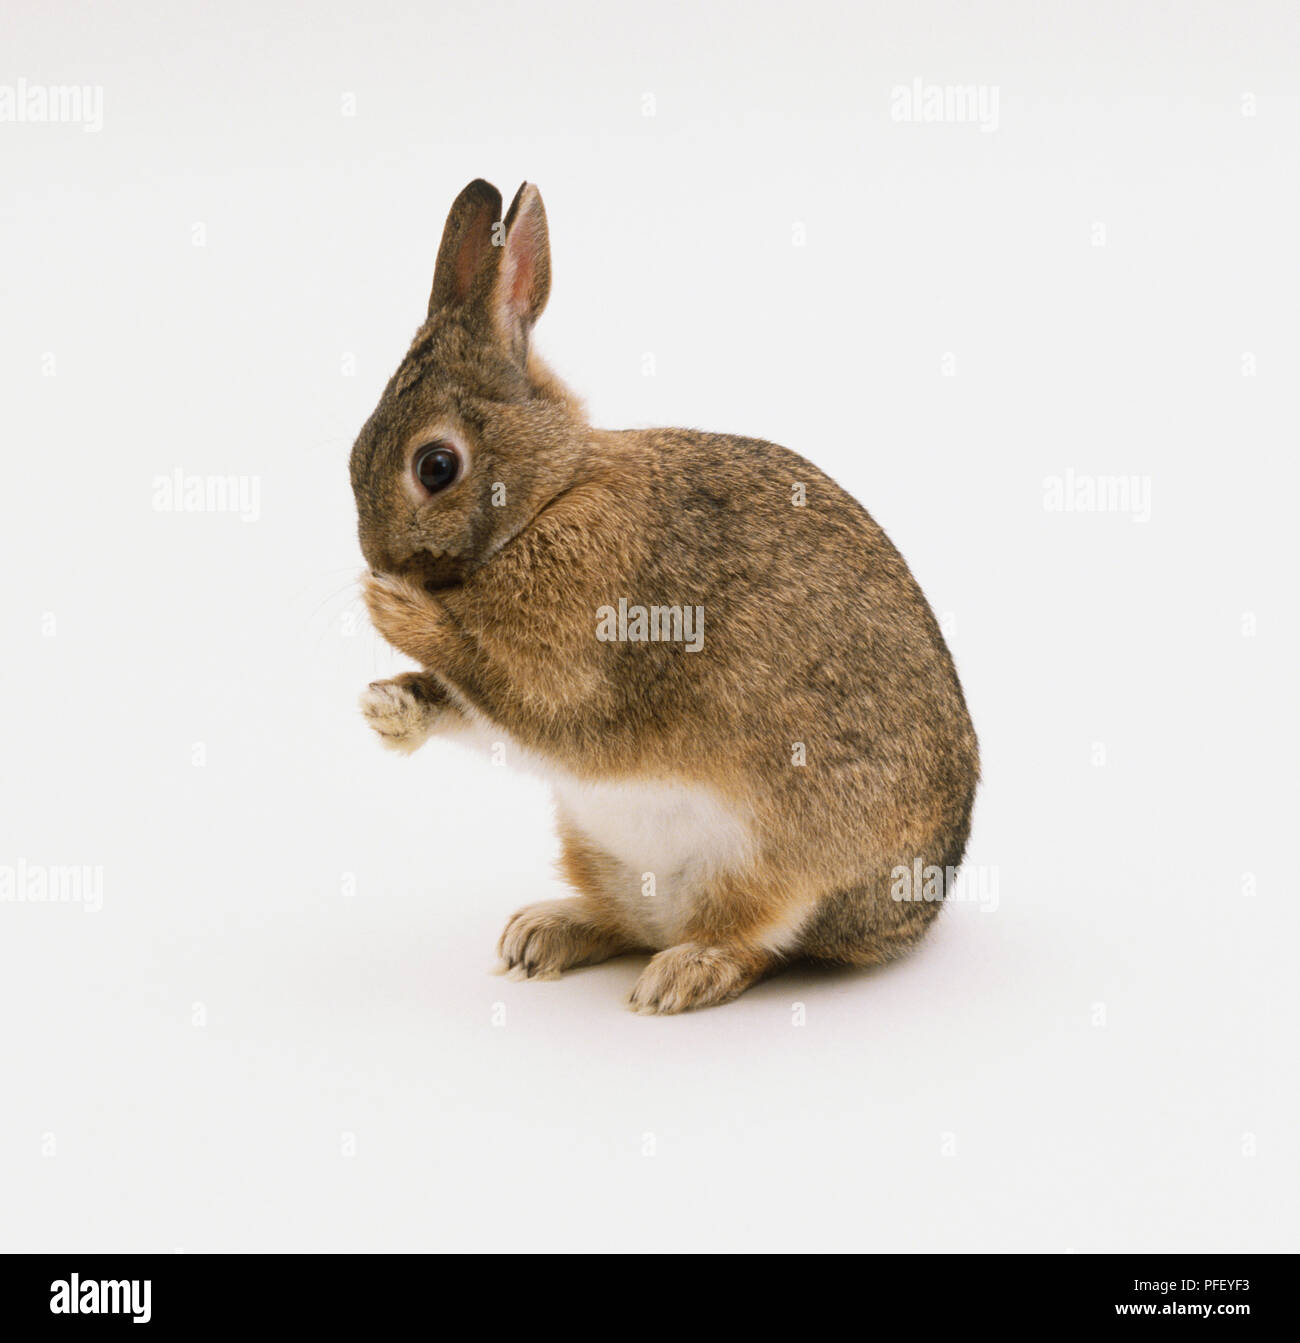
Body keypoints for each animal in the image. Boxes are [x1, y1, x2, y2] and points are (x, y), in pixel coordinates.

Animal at [351, 179, 979, 1014]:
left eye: (436, 466)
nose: (377, 557)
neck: (548, 500)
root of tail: (917, 906)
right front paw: (388, 709)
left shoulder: (584, 663)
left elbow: (505, 693)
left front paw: (393, 608)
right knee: (632, 921)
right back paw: (542, 933)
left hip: (777, 869)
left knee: (762, 945)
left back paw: (680, 974)